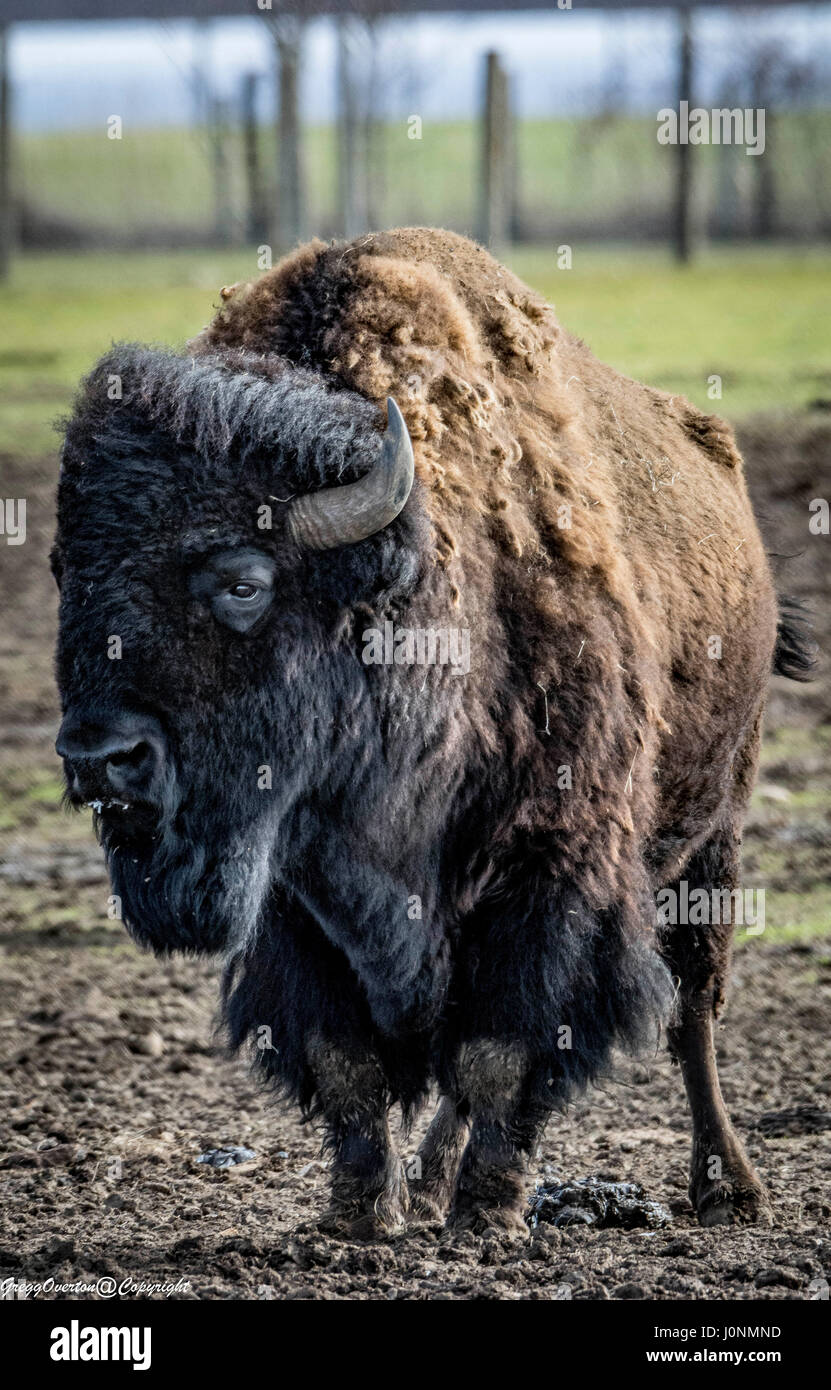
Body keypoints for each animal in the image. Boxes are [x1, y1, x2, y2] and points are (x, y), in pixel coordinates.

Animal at [52, 228, 811, 1238]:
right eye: (64, 572)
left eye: (243, 580)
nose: (102, 758)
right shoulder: (296, 901)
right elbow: (349, 1060)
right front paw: (360, 1212)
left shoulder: (550, 868)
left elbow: (501, 1046)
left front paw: (490, 1213)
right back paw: (430, 1182)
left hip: (713, 833)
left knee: (694, 1009)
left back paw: (729, 1187)